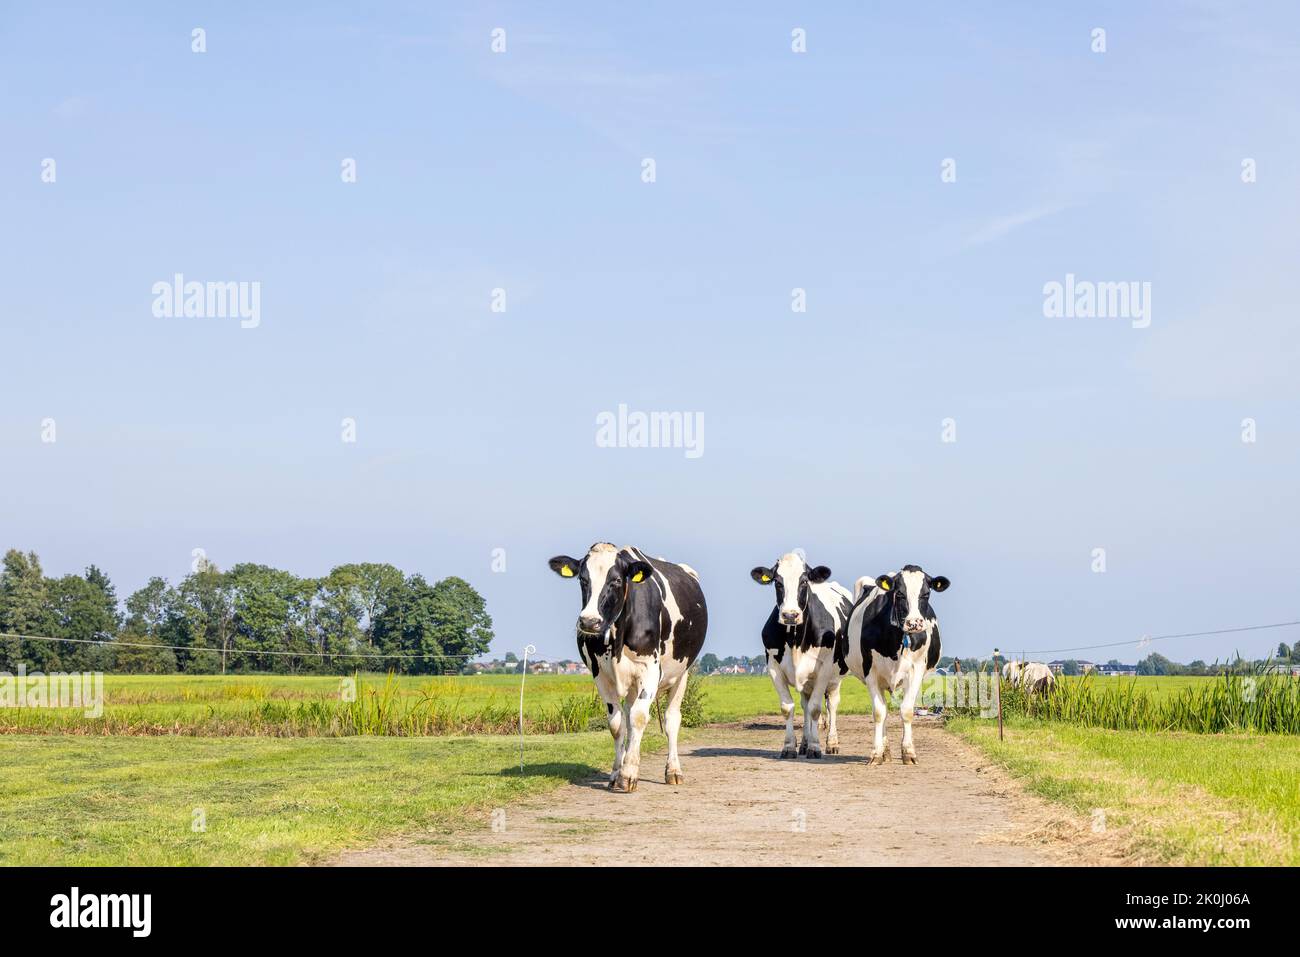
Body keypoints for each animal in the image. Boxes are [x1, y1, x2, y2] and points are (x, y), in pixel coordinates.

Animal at [548, 543, 707, 793]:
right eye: (583, 579)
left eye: (616, 580)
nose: (589, 621)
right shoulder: (599, 673)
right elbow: (617, 723)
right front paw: (617, 772)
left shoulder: (650, 669)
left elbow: (639, 717)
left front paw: (630, 773)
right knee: (630, 715)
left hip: (682, 672)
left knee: (671, 719)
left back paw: (673, 770)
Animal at [750, 552, 854, 759]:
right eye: (777, 582)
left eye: (804, 581)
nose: (790, 615)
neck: (795, 640)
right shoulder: (773, 667)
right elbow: (788, 707)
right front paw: (790, 746)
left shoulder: (824, 669)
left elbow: (816, 708)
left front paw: (815, 747)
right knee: (805, 704)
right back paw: (804, 743)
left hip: (835, 678)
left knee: (831, 704)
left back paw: (831, 743)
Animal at [841, 565, 950, 765]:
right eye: (899, 594)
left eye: (926, 594)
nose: (914, 623)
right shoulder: (871, 672)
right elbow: (878, 712)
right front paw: (876, 753)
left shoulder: (916, 670)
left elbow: (907, 711)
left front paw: (909, 752)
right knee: (883, 710)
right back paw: (885, 751)